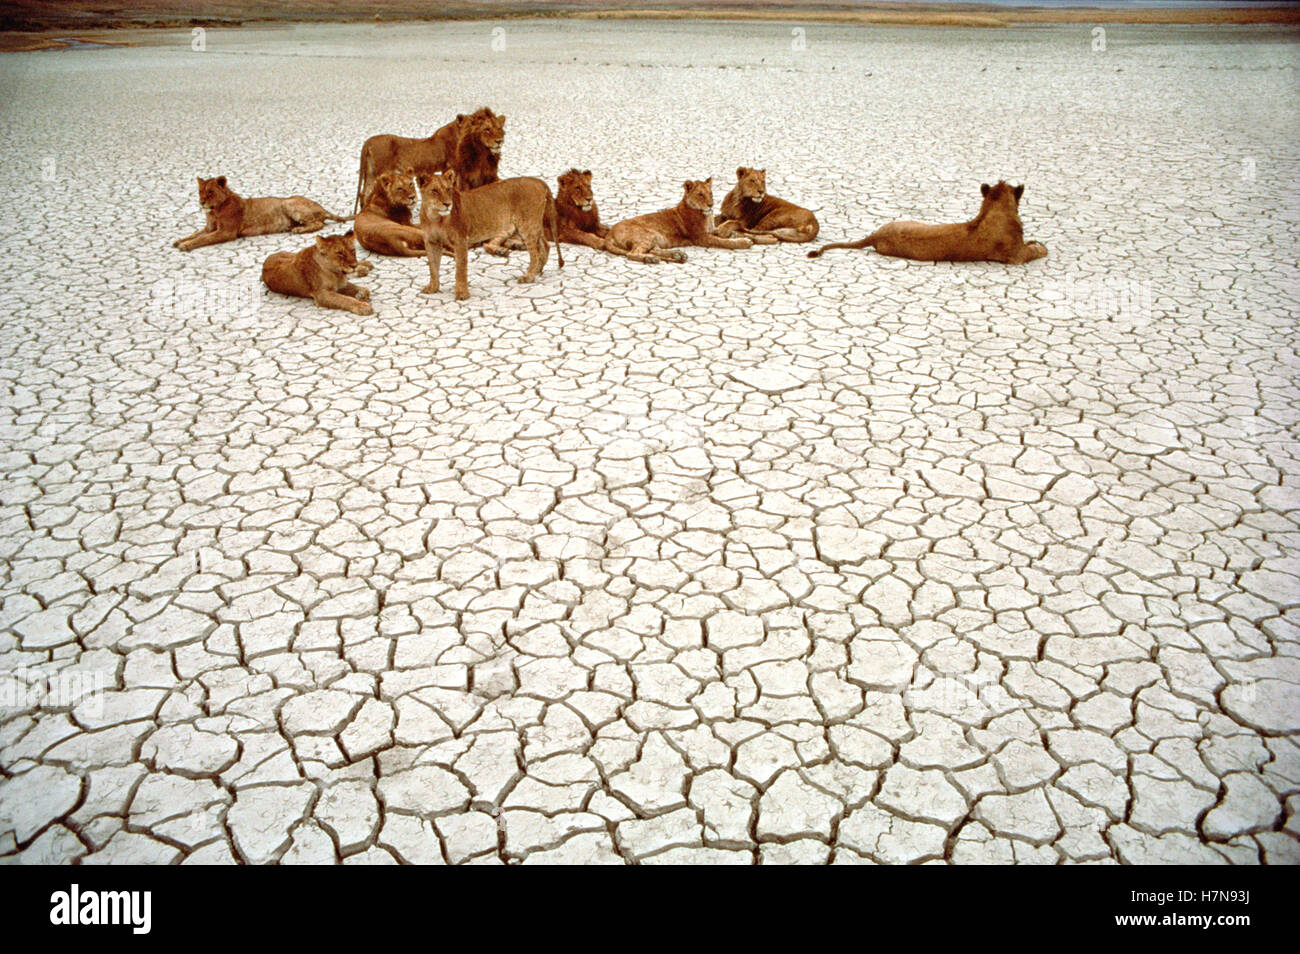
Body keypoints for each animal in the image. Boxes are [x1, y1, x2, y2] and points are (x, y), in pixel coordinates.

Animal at [173, 176, 349, 251]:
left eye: (210, 192)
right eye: (200, 191)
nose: (201, 202)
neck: (214, 210)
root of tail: (322, 207)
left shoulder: (226, 232)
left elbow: (203, 239)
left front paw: (185, 245)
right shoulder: (210, 228)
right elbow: (195, 234)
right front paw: (179, 241)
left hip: (288, 203)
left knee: (318, 224)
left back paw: (298, 229)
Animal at [417, 170, 562, 301]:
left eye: (448, 189)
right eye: (434, 190)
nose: (447, 204)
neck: (435, 217)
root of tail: (538, 181)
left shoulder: (461, 241)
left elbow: (460, 269)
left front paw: (462, 293)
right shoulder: (431, 242)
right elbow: (433, 267)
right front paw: (433, 287)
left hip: (527, 225)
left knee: (535, 252)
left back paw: (529, 276)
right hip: (531, 225)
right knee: (545, 245)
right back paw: (537, 270)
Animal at [604, 178, 752, 263]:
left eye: (711, 193)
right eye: (700, 194)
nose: (711, 205)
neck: (706, 215)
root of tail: (609, 234)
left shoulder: (711, 230)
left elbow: (722, 232)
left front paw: (736, 235)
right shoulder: (701, 238)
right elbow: (724, 242)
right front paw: (744, 242)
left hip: (654, 238)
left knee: (652, 250)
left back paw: (677, 255)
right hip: (647, 234)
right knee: (632, 253)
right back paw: (651, 259)